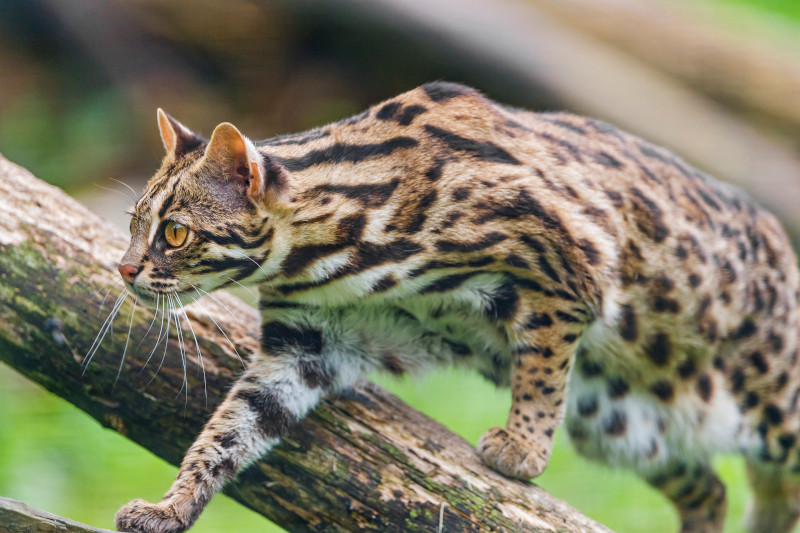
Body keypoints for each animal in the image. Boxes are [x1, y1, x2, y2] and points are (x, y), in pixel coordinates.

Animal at [112, 82, 800, 533]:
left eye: (174, 233)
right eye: (134, 223)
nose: (124, 269)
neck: (325, 262)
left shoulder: (569, 274)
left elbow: (541, 366)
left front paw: (521, 447)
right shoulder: (305, 345)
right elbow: (229, 430)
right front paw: (172, 505)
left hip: (772, 406)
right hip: (621, 427)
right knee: (711, 490)